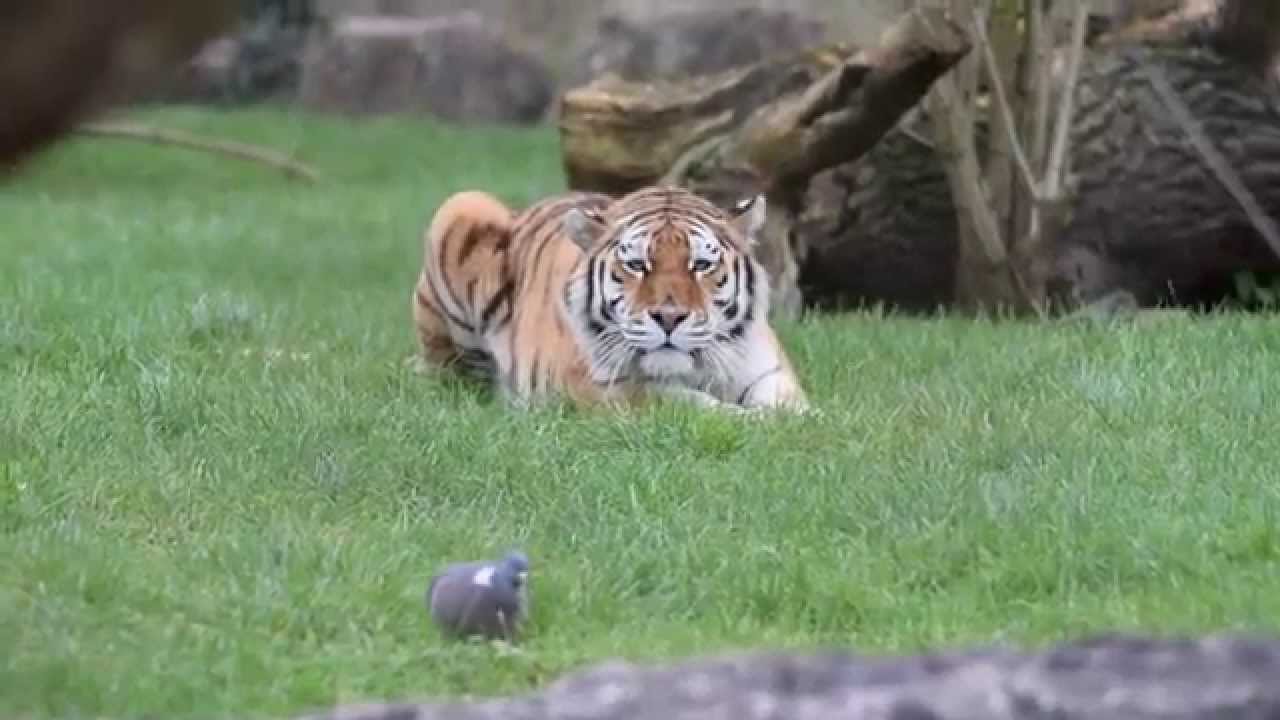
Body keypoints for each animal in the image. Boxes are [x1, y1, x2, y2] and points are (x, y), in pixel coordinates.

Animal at [410, 184, 810, 414]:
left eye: (700, 265)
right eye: (636, 265)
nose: (669, 318)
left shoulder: (769, 373)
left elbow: (794, 411)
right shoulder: (602, 386)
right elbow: (687, 403)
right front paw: (746, 420)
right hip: (462, 205)